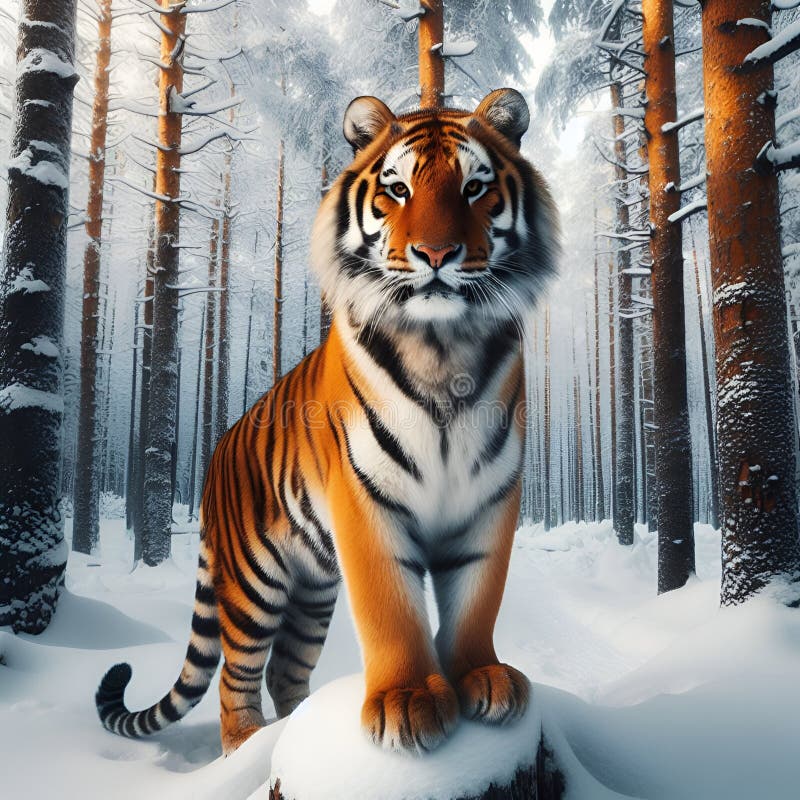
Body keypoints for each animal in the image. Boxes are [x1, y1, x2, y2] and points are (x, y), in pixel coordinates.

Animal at [95, 87, 558, 756]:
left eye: (475, 188)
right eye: (398, 189)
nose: (436, 254)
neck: (443, 347)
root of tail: (216, 448)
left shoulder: (490, 497)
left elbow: (478, 598)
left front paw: (483, 677)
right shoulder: (365, 501)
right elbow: (391, 610)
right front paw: (407, 702)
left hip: (312, 590)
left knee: (287, 669)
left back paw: (299, 726)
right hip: (252, 581)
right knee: (236, 673)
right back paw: (247, 745)